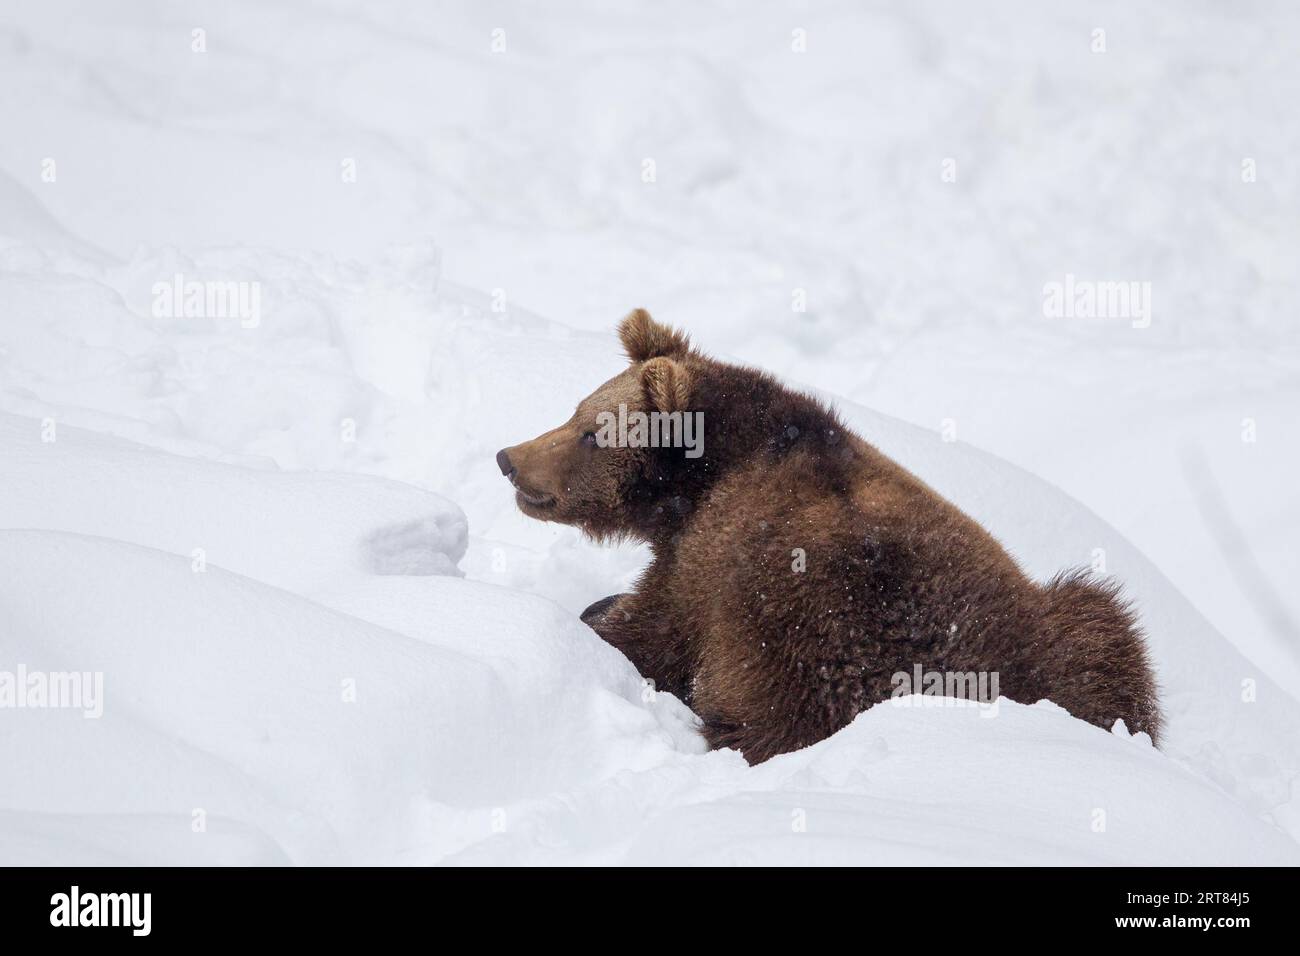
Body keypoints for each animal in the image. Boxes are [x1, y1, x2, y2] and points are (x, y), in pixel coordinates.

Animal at [496, 309, 1161, 763]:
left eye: (589, 431)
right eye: (576, 410)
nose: (509, 458)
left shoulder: (707, 565)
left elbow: (650, 628)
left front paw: (591, 615)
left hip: (796, 639)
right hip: (1061, 636)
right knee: (1102, 636)